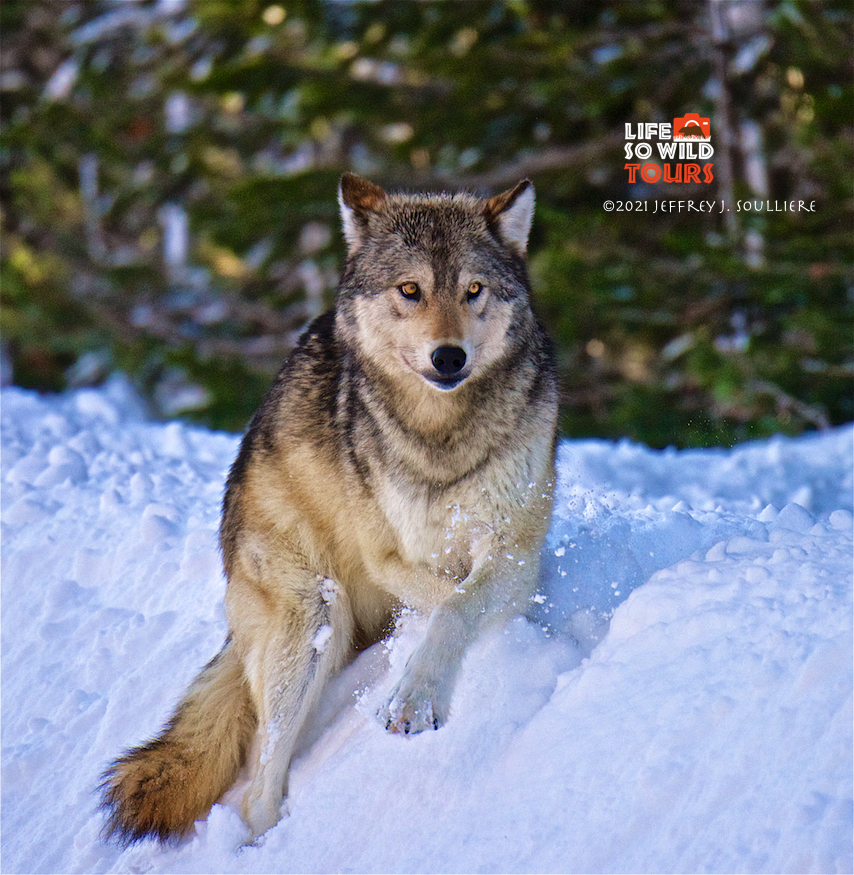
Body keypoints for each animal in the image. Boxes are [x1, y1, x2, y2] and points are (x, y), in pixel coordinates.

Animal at [100, 173, 558, 844]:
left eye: (473, 290)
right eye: (410, 290)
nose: (448, 357)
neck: (441, 438)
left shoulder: (513, 544)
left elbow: (462, 602)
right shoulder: (387, 554)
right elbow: (452, 601)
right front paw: (418, 698)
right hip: (314, 611)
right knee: (258, 784)